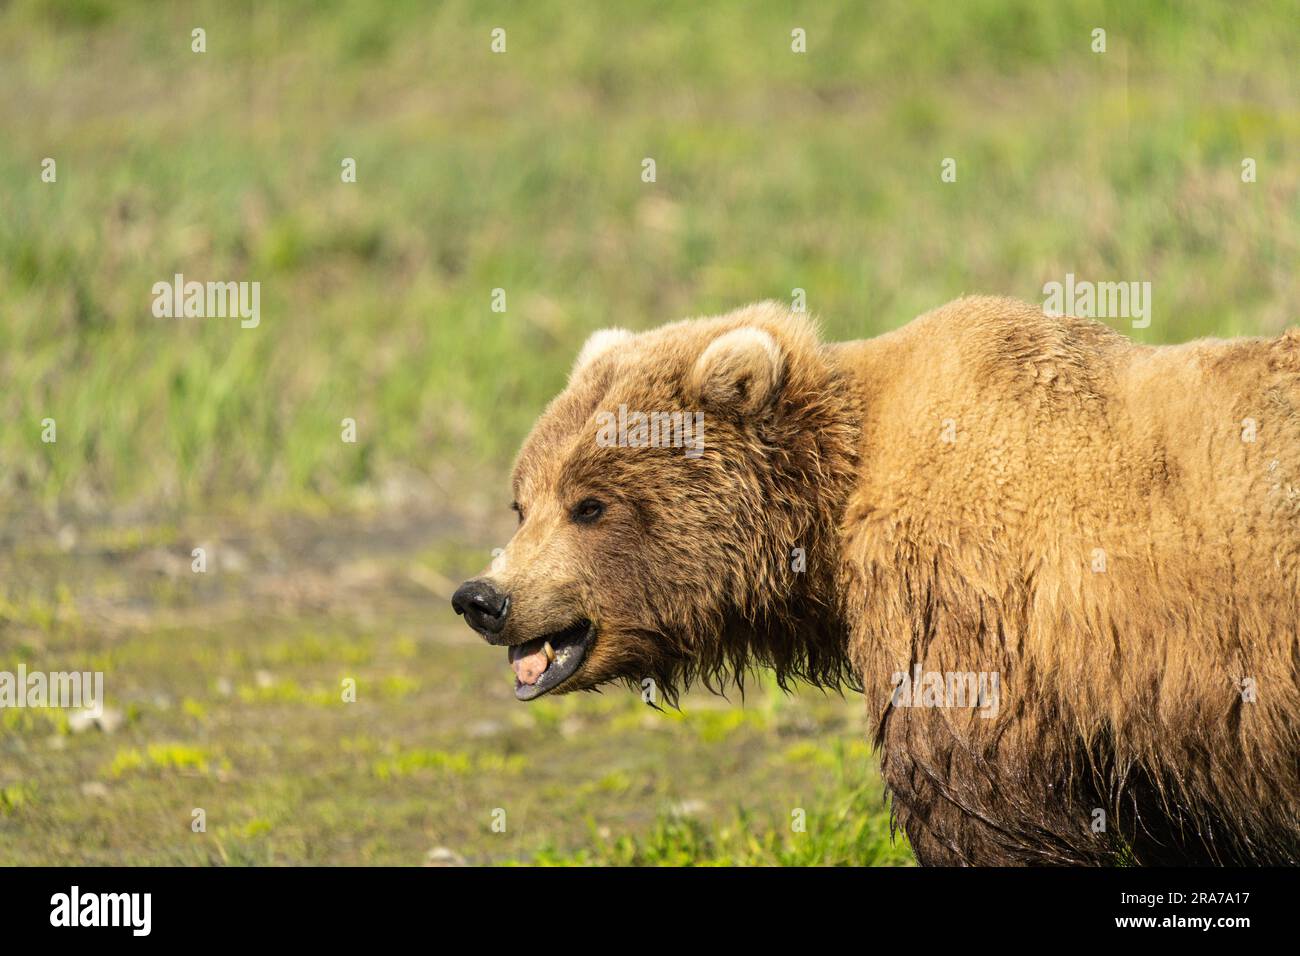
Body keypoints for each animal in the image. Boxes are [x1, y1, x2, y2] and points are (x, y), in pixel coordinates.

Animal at [452, 296, 1300, 866]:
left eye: (590, 505)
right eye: (522, 501)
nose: (482, 599)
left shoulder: (977, 609)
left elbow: (977, 802)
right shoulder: (1156, 731)